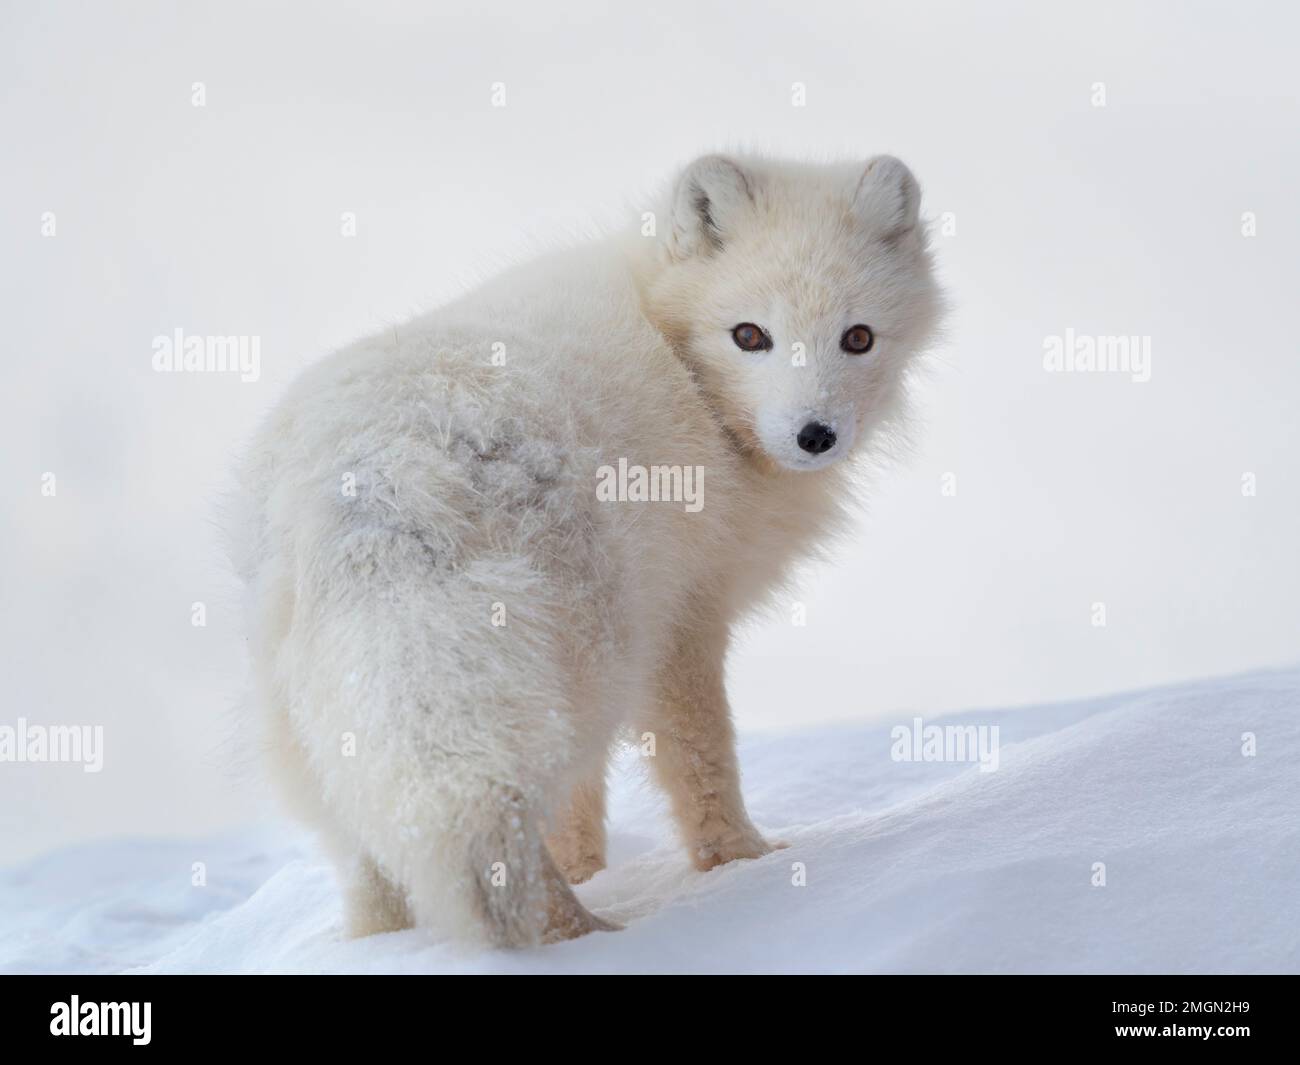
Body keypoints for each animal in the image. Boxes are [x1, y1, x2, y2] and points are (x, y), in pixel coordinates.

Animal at [227, 153, 944, 947]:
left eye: (859, 338)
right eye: (749, 334)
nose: (814, 434)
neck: (682, 366)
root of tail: (371, 472)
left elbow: (580, 809)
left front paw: (590, 866)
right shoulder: (683, 619)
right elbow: (702, 758)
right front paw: (741, 862)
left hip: (324, 707)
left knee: (371, 848)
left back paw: (390, 941)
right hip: (585, 650)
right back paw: (578, 933)